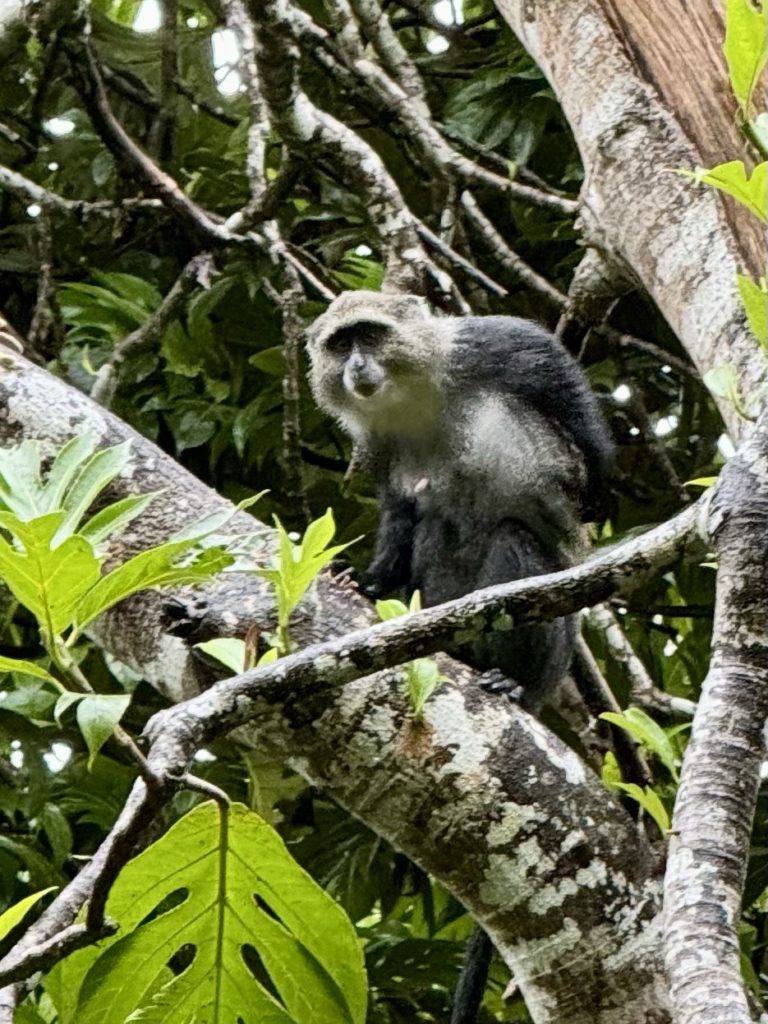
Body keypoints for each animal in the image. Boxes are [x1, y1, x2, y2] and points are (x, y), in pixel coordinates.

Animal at [306, 290, 614, 1023]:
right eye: (339, 345)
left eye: (370, 336)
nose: (357, 366)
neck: (409, 395)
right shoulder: (377, 446)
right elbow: (399, 512)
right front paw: (366, 583)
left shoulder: (483, 347)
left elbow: (557, 376)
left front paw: (600, 488)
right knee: (429, 523)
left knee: (512, 539)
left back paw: (511, 680)